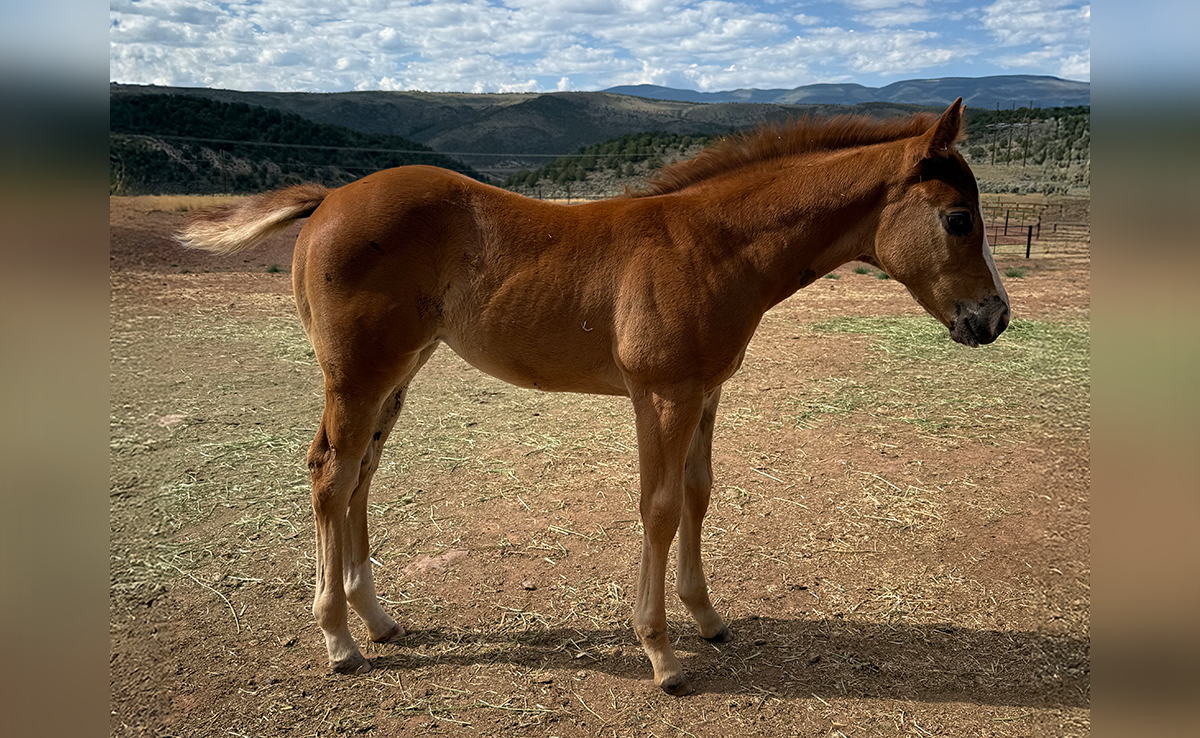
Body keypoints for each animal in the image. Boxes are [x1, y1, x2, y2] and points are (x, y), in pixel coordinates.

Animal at [180, 99, 1009, 695]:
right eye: (957, 219)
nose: (994, 318)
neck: (713, 245)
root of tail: (328, 199)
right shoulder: (662, 396)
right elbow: (660, 508)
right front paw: (662, 655)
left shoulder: (706, 393)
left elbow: (700, 494)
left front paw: (707, 617)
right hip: (358, 374)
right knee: (329, 472)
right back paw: (339, 640)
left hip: (400, 370)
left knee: (360, 475)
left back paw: (378, 620)